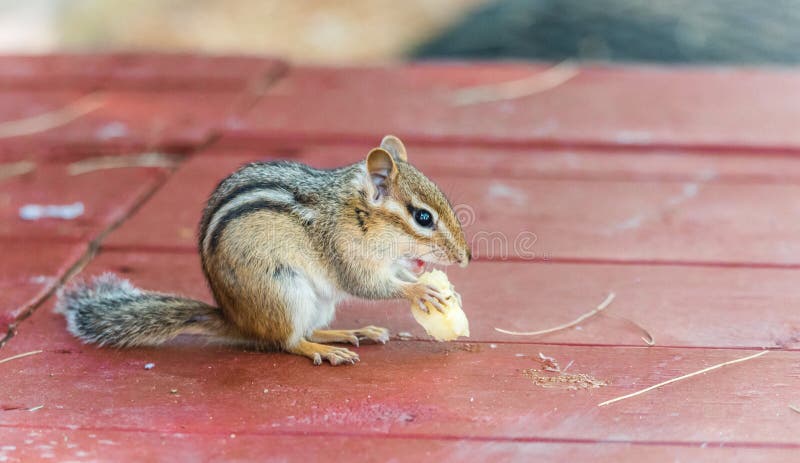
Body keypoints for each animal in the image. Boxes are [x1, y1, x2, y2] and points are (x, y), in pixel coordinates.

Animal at [56, 135, 471, 365]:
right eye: (422, 217)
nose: (465, 258)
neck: (353, 212)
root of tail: (237, 320)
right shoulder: (345, 252)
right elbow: (368, 285)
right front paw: (419, 289)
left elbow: (394, 273)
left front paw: (424, 281)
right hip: (285, 291)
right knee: (289, 341)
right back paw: (324, 351)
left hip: (317, 302)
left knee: (309, 330)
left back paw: (350, 332)